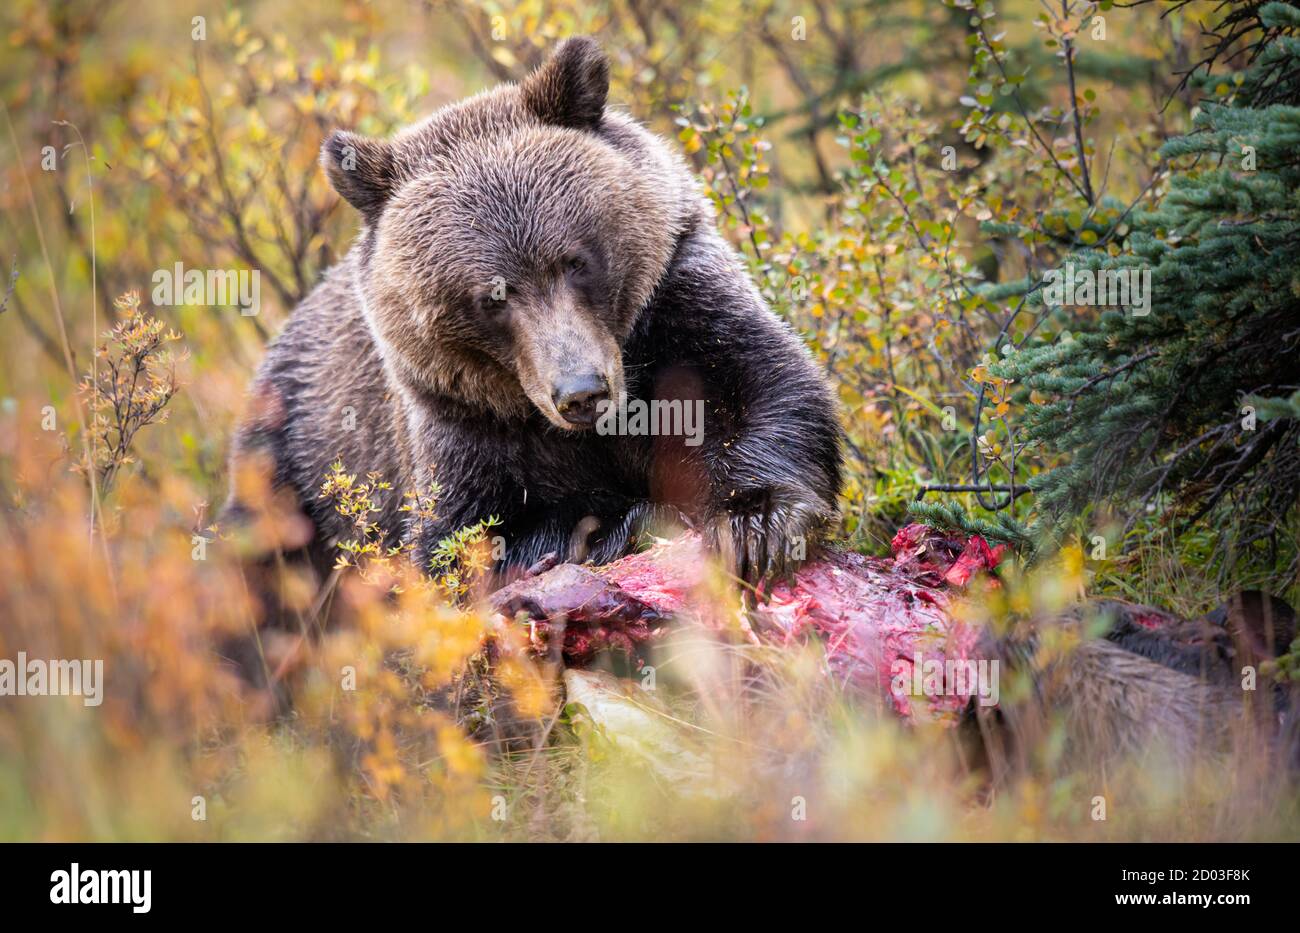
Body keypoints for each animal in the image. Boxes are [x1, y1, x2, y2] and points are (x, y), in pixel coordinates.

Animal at [227, 36, 843, 589]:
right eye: (492, 296)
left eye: (574, 261)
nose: (582, 392)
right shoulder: (454, 412)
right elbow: (470, 541)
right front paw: (608, 528)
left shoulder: (676, 295)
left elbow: (757, 386)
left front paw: (754, 525)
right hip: (286, 462)